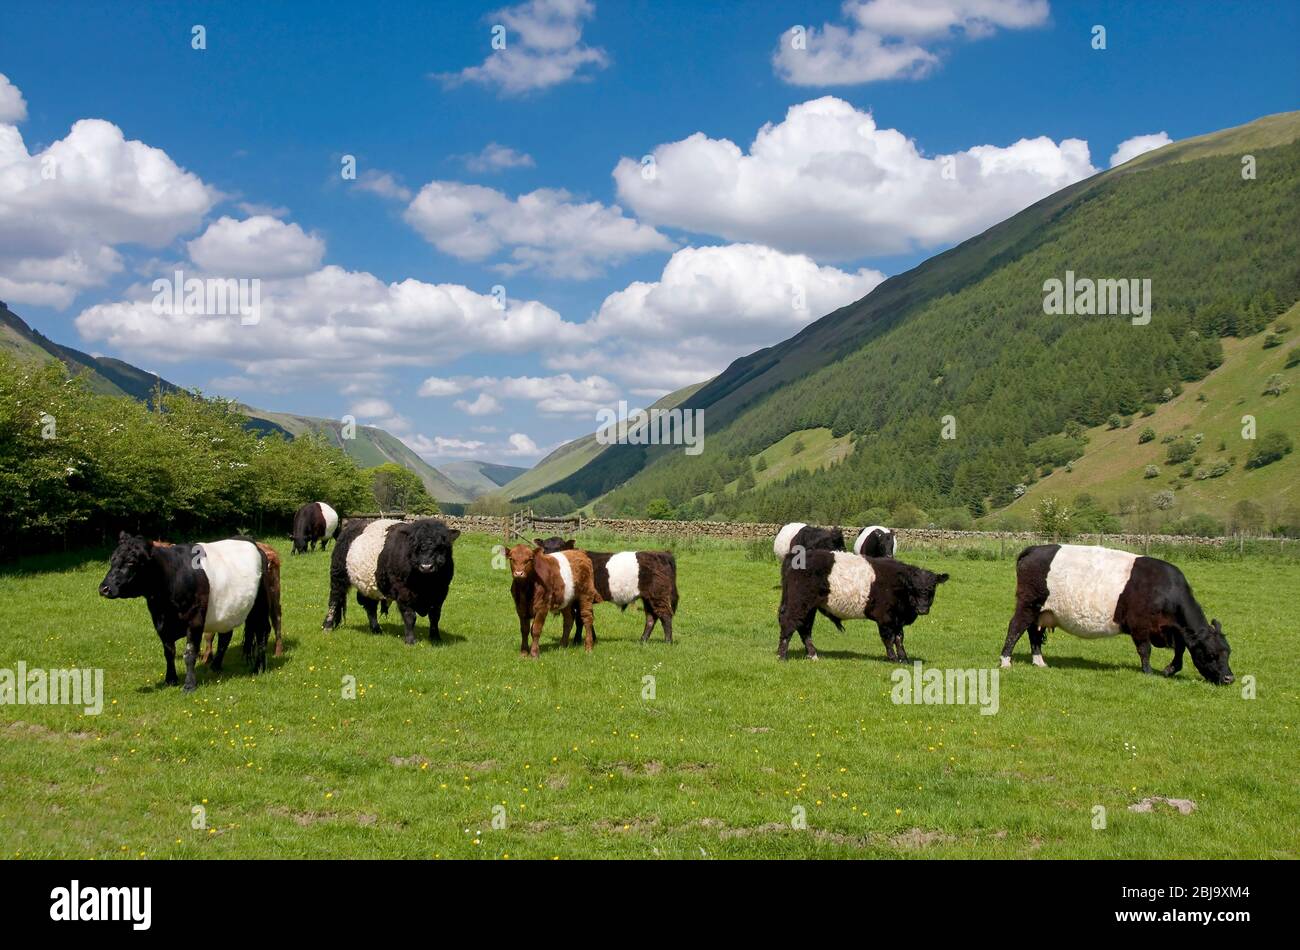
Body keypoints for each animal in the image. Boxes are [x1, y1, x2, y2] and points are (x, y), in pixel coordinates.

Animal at [99, 533, 282, 691]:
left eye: (131, 562)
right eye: (112, 559)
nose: (104, 588)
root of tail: (253, 542)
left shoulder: (195, 620)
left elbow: (190, 653)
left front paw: (189, 685)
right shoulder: (160, 623)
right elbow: (169, 652)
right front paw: (170, 679)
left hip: (261, 604)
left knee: (263, 631)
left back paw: (259, 667)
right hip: (228, 610)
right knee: (226, 636)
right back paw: (215, 666)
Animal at [321, 517, 458, 645]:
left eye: (441, 547)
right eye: (414, 546)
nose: (426, 566)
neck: (426, 583)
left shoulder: (441, 592)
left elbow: (435, 616)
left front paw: (436, 638)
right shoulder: (403, 591)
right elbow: (410, 616)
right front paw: (410, 640)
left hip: (370, 585)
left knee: (370, 607)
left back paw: (376, 630)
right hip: (338, 575)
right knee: (334, 600)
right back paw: (327, 626)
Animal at [539, 537, 679, 643]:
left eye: (560, 547)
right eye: (545, 548)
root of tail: (662, 553)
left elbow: (580, 620)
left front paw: (577, 641)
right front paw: (592, 639)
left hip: (658, 595)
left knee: (665, 615)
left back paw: (668, 641)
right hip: (648, 597)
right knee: (651, 617)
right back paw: (642, 640)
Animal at [777, 549, 948, 661]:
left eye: (932, 588)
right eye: (912, 587)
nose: (922, 609)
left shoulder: (898, 619)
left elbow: (900, 638)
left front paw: (904, 658)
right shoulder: (885, 617)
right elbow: (889, 638)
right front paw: (892, 658)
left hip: (809, 606)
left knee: (805, 628)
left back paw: (813, 655)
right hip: (798, 602)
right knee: (789, 622)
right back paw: (782, 655)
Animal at [1000, 544, 1234, 684]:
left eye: (1228, 652)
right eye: (1211, 655)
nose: (1229, 678)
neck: (1165, 590)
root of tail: (1035, 548)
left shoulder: (1173, 629)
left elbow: (1180, 650)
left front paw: (1169, 669)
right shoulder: (1140, 625)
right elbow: (1145, 650)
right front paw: (1148, 672)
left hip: (1044, 611)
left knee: (1034, 633)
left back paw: (1039, 662)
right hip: (1029, 604)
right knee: (1015, 627)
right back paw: (1005, 661)